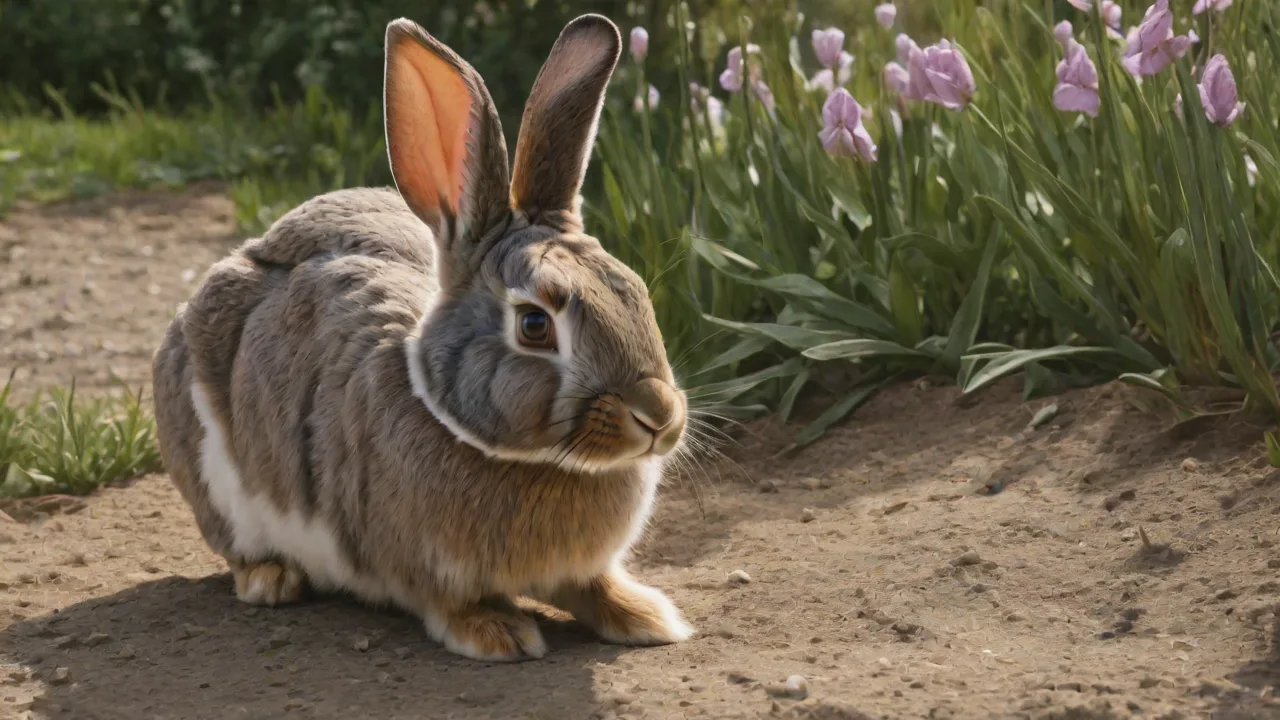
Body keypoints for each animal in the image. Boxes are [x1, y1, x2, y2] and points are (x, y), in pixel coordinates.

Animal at [151, 13, 694, 662]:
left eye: (635, 290)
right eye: (535, 325)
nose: (659, 415)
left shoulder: (581, 569)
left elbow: (595, 587)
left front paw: (649, 617)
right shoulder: (421, 570)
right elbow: (448, 604)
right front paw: (499, 634)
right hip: (214, 479)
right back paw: (272, 579)